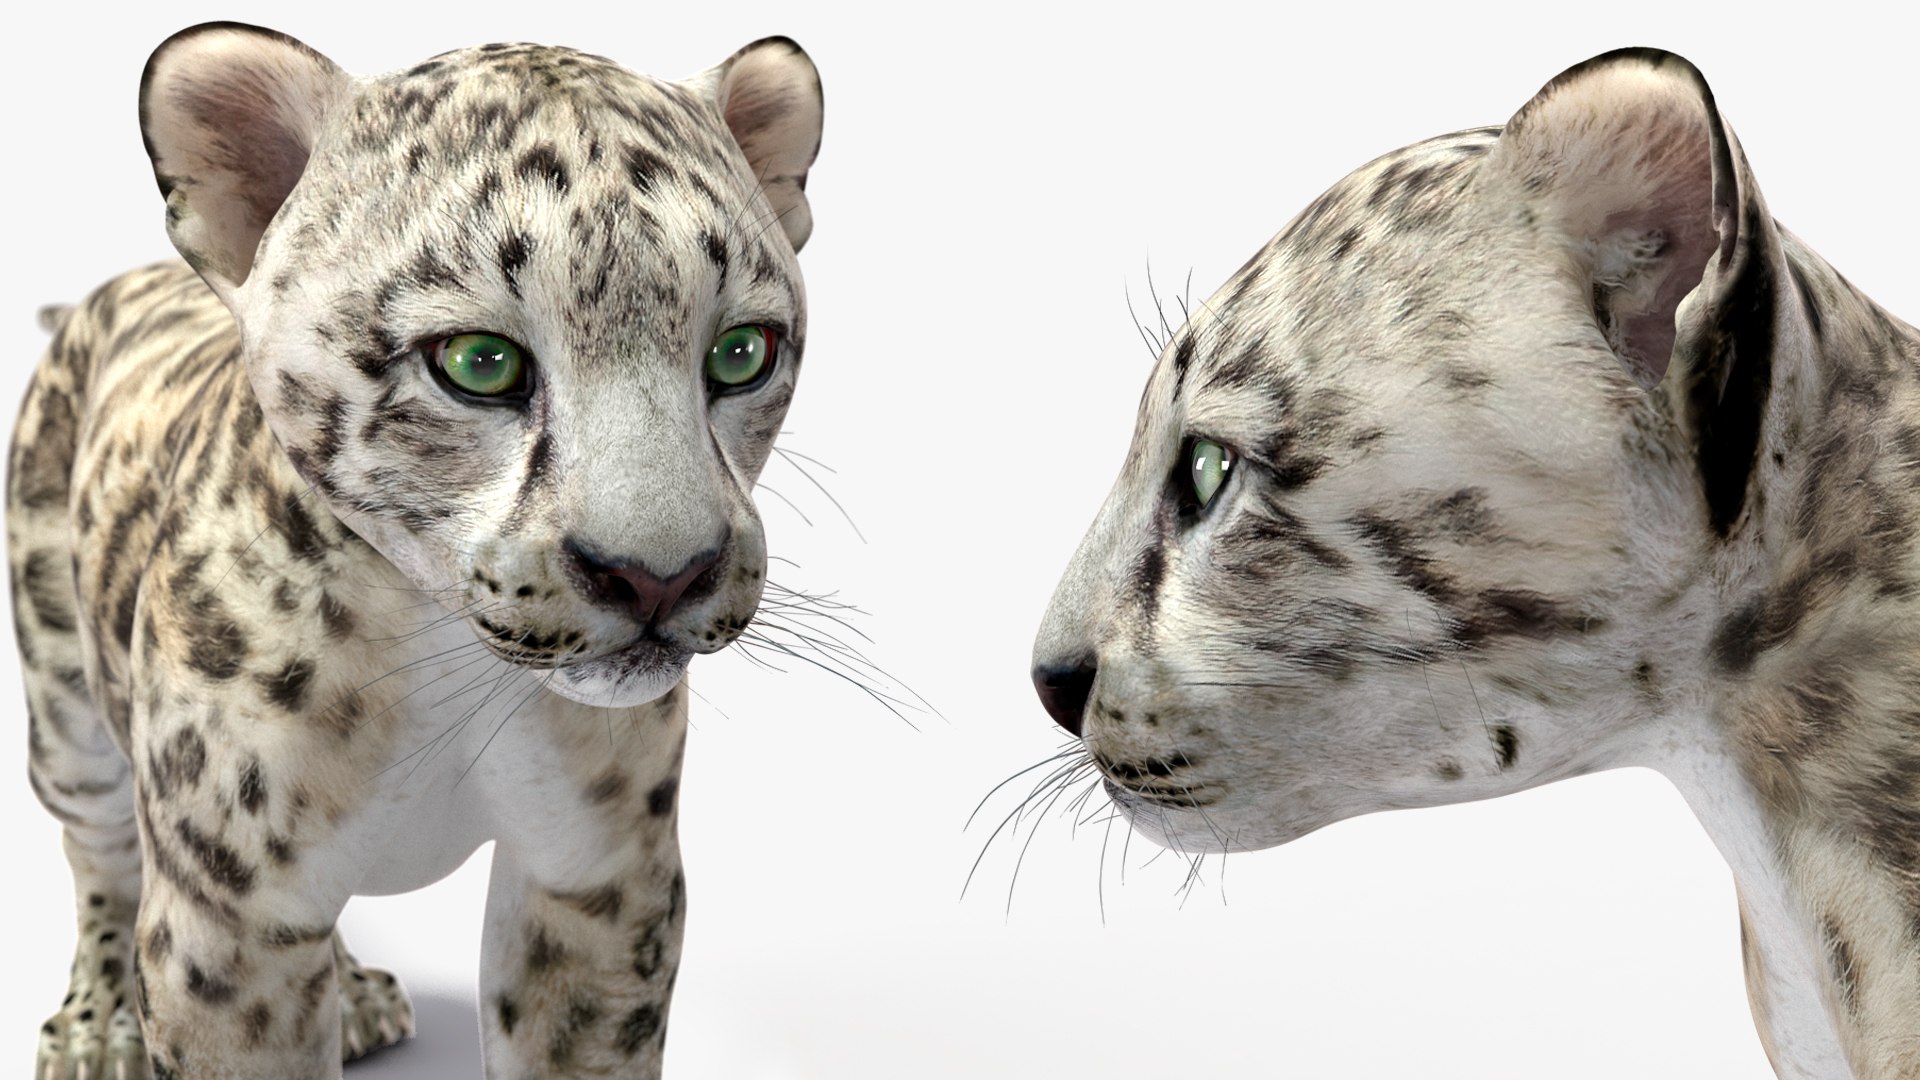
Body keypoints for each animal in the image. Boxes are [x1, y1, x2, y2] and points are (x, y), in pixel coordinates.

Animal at [12, 21, 822, 1079]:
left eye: (742, 352)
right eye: (480, 363)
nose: (660, 576)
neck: (437, 674)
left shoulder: (599, 879)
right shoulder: (227, 927)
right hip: (64, 717)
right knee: (97, 849)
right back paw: (98, 1026)